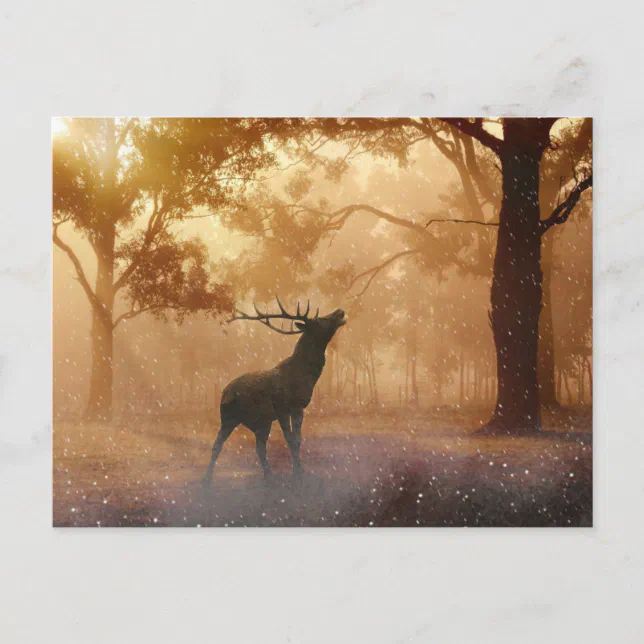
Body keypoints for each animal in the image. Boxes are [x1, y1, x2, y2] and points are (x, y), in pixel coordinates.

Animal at [202, 297, 347, 487]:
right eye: (320, 320)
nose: (340, 311)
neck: (305, 376)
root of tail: (225, 394)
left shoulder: (299, 407)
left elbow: (298, 439)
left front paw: (300, 472)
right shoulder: (283, 407)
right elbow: (291, 440)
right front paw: (297, 475)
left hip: (260, 422)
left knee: (259, 448)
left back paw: (269, 476)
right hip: (228, 417)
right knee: (217, 445)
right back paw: (207, 480)